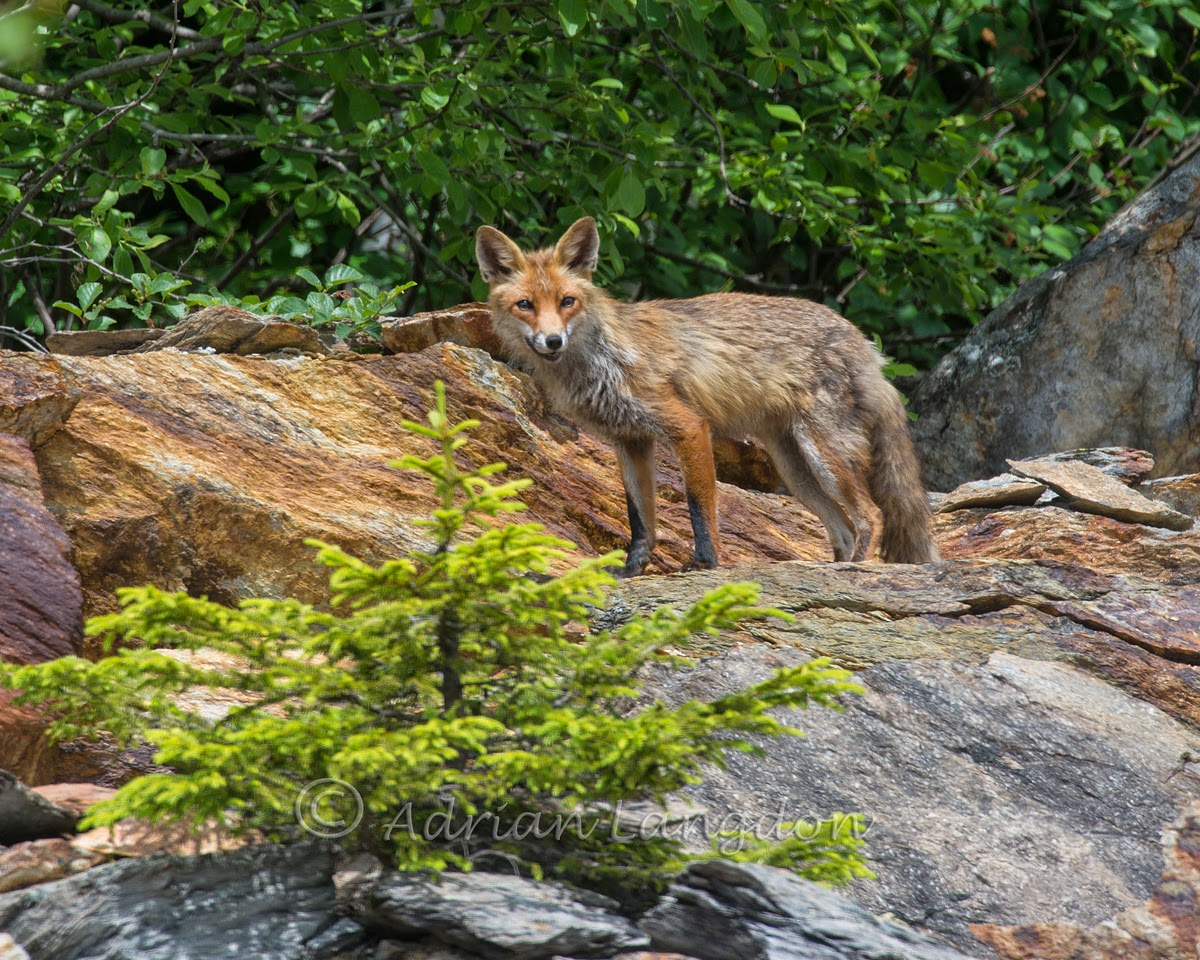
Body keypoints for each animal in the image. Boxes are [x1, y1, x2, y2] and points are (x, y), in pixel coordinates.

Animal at [475, 216, 939, 577]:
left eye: (567, 301)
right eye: (525, 305)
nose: (552, 341)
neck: (601, 359)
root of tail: (863, 341)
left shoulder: (688, 427)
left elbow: (700, 507)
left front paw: (705, 564)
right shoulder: (630, 440)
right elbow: (641, 520)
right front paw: (630, 571)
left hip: (823, 453)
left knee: (871, 515)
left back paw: (857, 569)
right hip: (795, 469)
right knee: (843, 528)